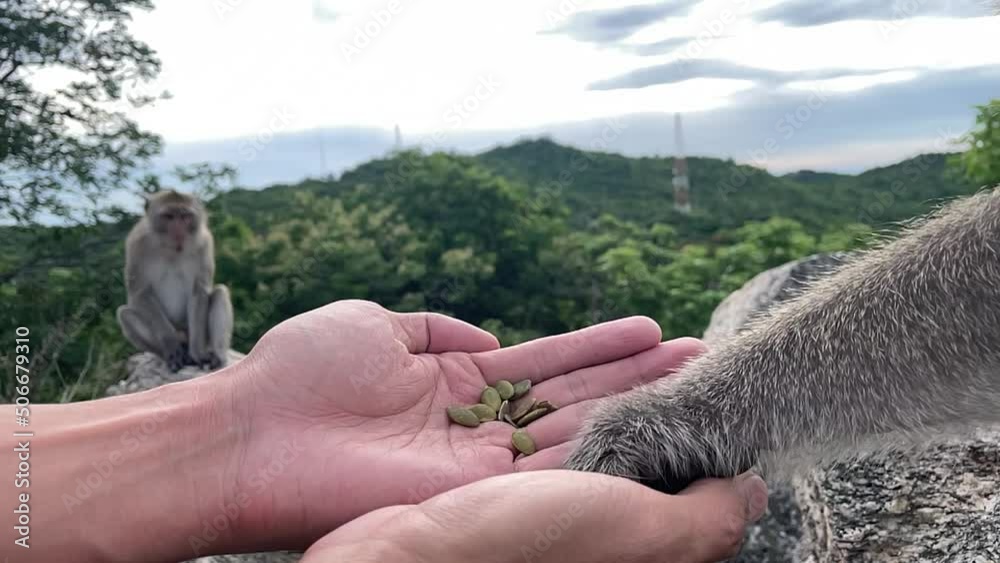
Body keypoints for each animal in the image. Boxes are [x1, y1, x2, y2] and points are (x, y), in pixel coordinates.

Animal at [116, 190, 233, 372]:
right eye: (169, 216)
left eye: (185, 216)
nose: (178, 230)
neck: (172, 250)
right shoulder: (136, 244)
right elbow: (140, 294)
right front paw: (171, 346)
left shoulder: (205, 243)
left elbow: (199, 291)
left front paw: (197, 352)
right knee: (125, 314)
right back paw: (172, 356)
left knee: (220, 292)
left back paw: (216, 357)